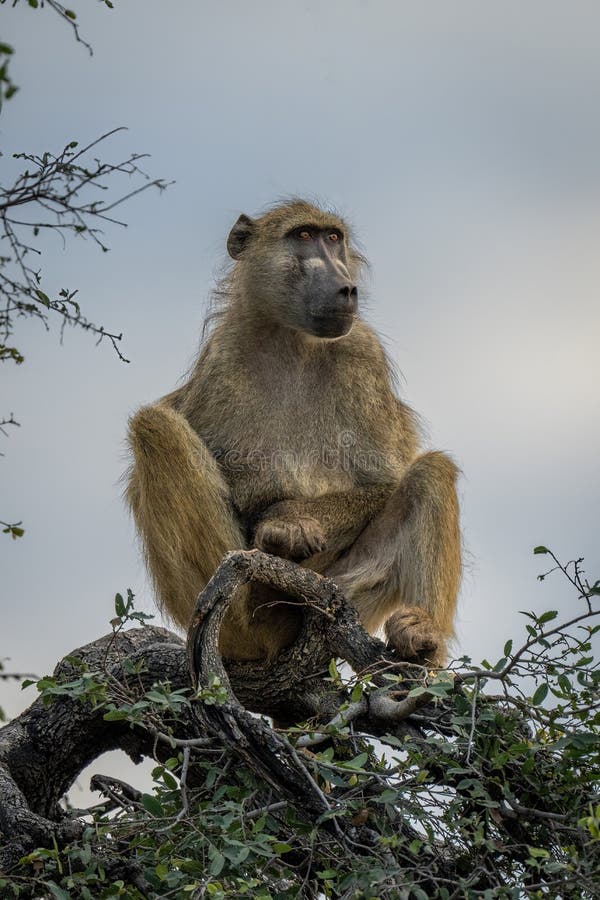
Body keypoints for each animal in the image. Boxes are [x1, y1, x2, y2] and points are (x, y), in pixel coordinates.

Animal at [126, 199, 461, 665]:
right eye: (303, 236)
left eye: (334, 238)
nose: (346, 289)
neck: (293, 342)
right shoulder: (223, 357)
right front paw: (282, 528)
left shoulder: (364, 354)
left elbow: (383, 484)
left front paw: (285, 522)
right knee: (154, 428)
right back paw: (239, 613)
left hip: (339, 594)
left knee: (431, 474)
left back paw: (422, 640)